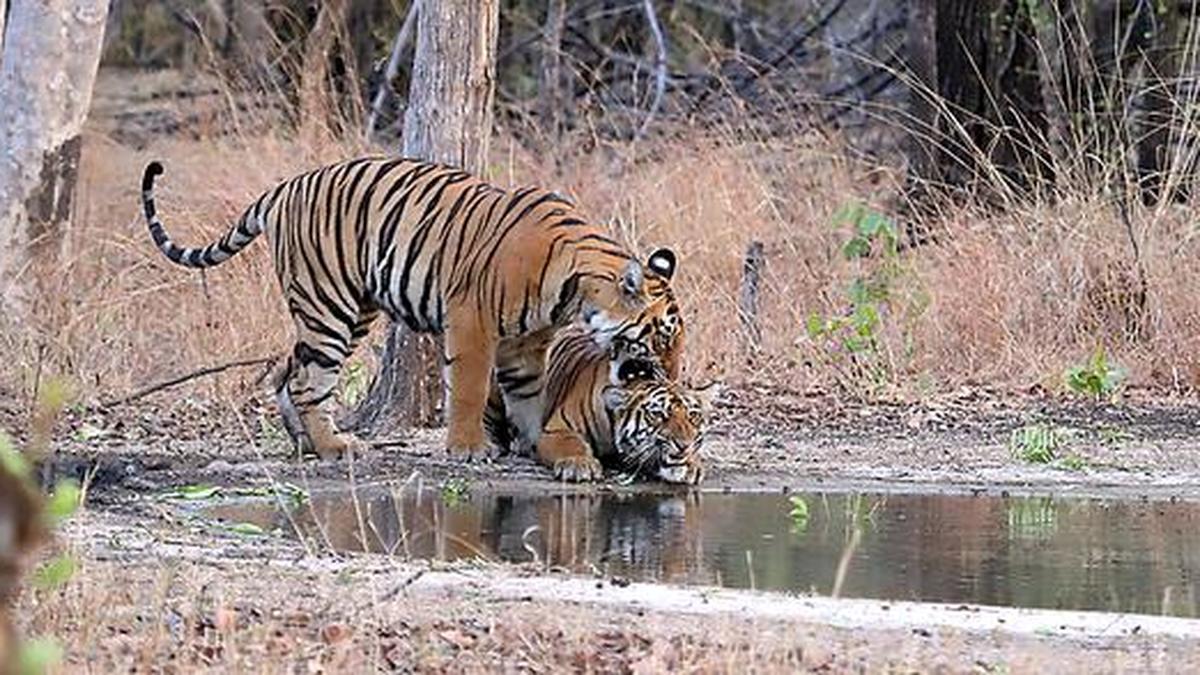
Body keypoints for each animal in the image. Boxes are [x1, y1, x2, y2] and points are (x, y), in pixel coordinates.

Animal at [139, 157, 679, 460]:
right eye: (662, 336)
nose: (673, 376)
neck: (575, 294)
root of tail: (285, 185)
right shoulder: (472, 320)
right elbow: (469, 388)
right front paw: (468, 450)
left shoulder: (527, 343)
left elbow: (529, 394)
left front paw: (534, 442)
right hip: (329, 305)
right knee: (310, 380)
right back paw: (334, 447)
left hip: (351, 310)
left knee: (287, 369)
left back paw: (303, 441)